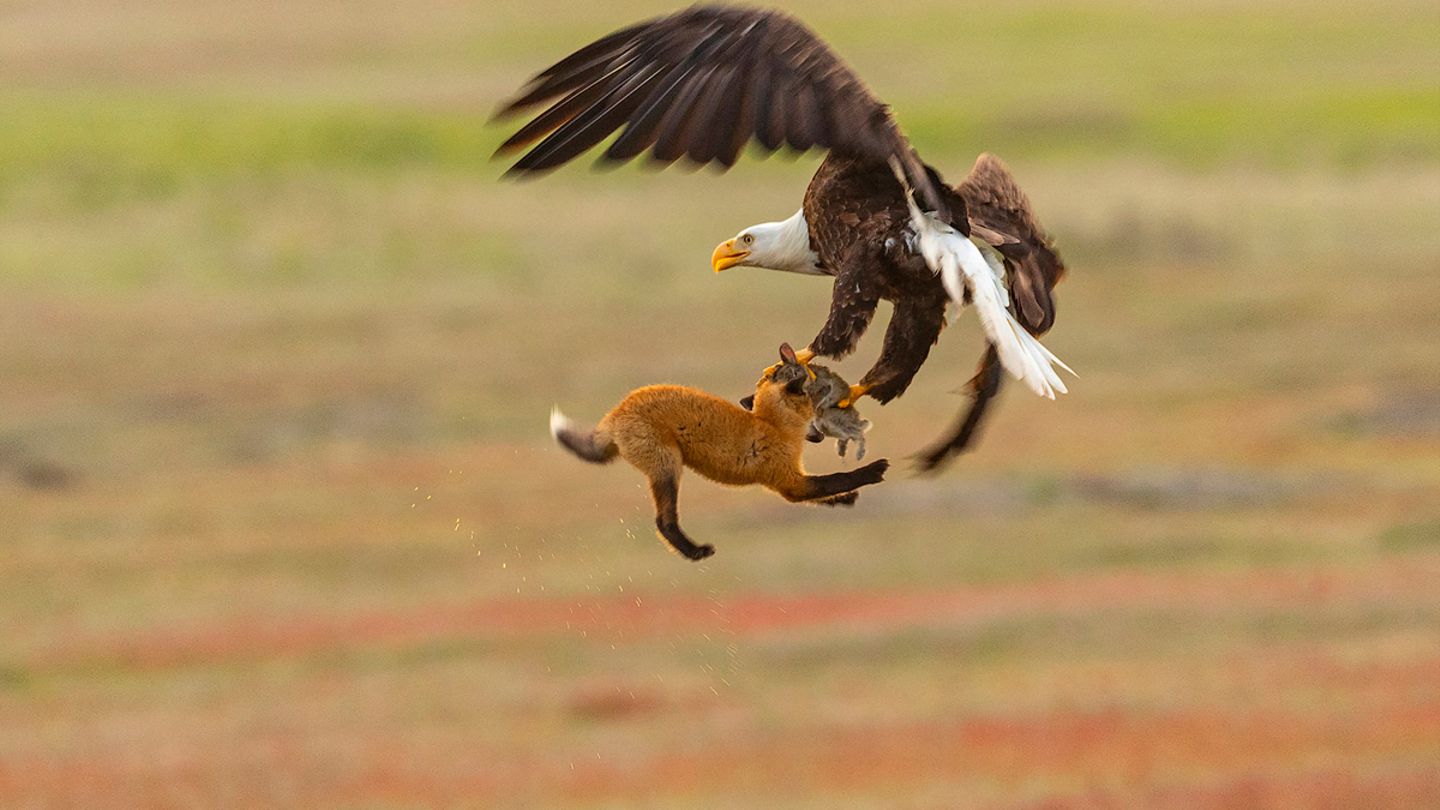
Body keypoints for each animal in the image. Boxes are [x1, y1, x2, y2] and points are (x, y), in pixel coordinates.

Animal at [550, 344, 890, 561]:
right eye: (814, 393)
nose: (819, 432)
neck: (771, 424)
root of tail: (616, 412)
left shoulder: (791, 482)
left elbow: (824, 492)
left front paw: (845, 500)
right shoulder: (788, 481)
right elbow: (836, 478)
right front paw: (873, 471)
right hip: (667, 467)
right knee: (664, 522)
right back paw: (695, 552)